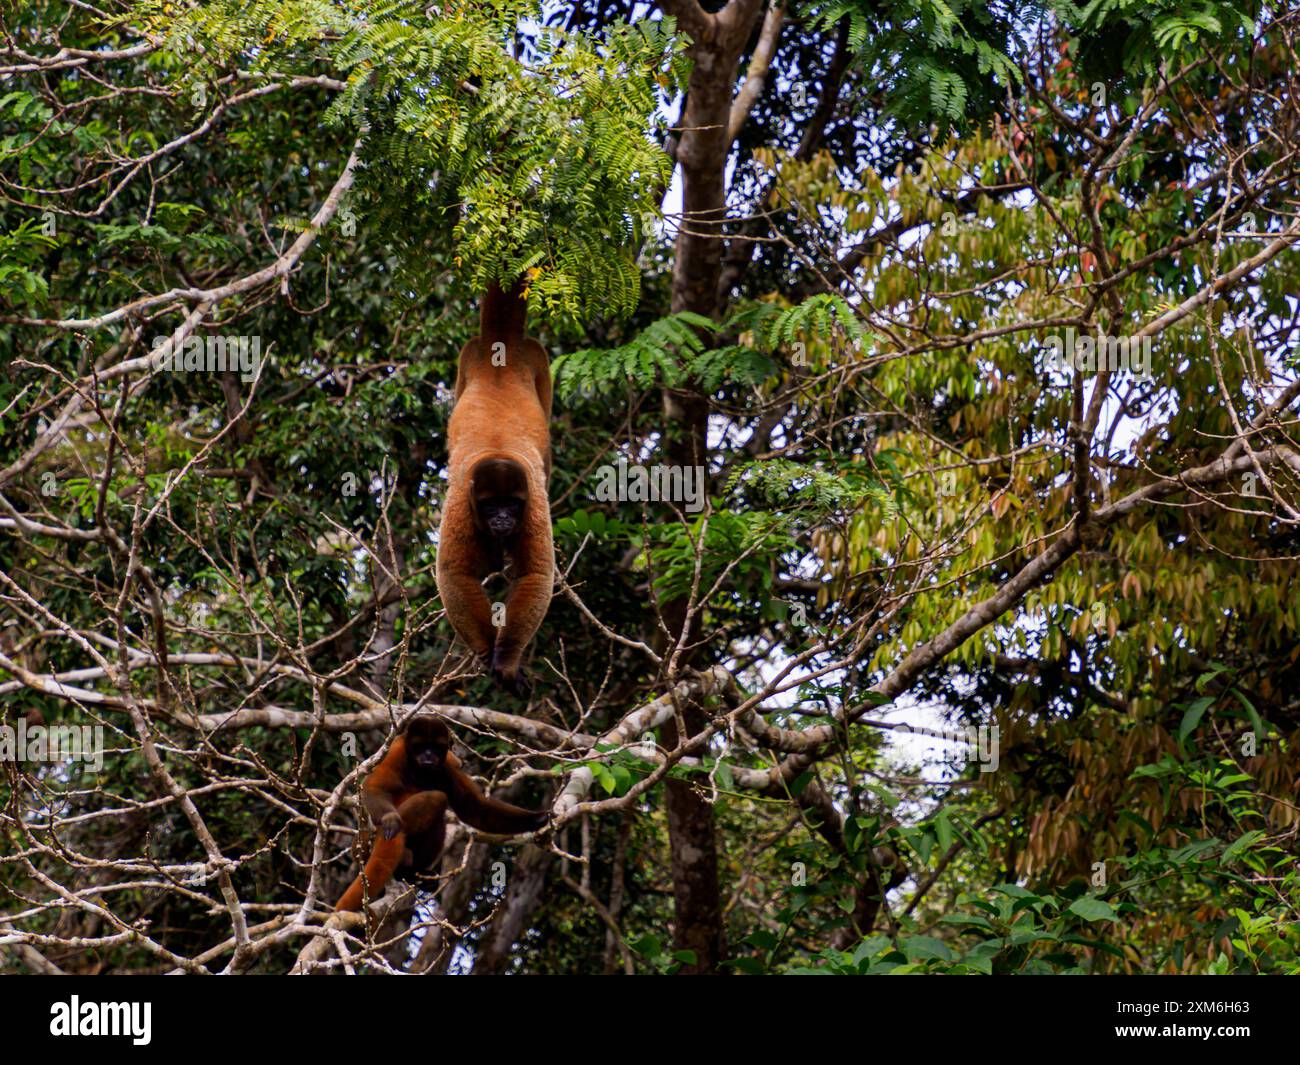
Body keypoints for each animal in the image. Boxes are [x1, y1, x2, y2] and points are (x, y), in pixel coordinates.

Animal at [335, 715, 548, 912]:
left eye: (436, 747)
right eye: (421, 746)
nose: (428, 756)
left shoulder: (447, 767)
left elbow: (475, 808)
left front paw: (537, 819)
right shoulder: (396, 754)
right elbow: (374, 787)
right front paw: (390, 820)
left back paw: (416, 872)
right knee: (436, 798)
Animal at [436, 279, 554, 696]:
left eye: (511, 506)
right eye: (490, 506)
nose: (502, 520)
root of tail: (499, 342)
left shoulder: (534, 504)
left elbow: (536, 574)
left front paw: (505, 659)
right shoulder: (462, 502)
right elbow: (455, 573)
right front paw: (490, 653)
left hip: (536, 356)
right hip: (469, 357)